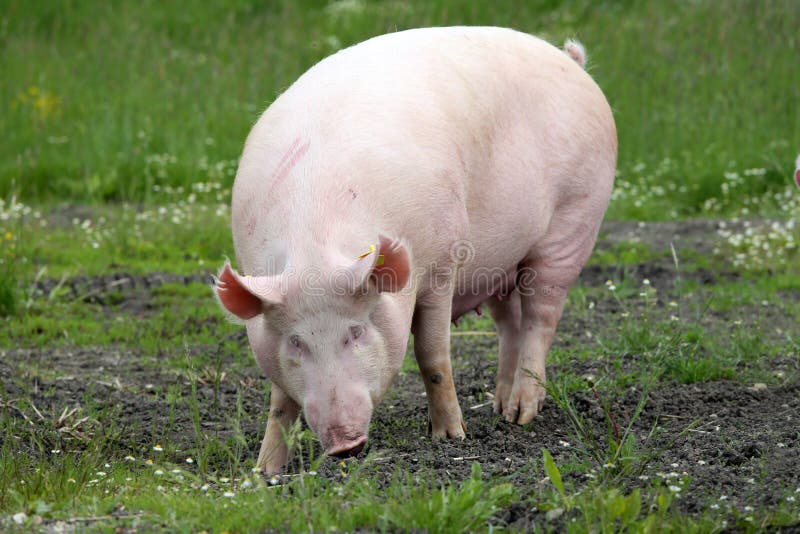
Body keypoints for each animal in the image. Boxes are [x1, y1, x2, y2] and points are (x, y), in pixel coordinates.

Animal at [214, 26, 617, 474]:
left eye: (357, 331)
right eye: (295, 342)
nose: (344, 444)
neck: (313, 235)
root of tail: (571, 62)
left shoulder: (441, 263)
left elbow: (431, 353)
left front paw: (451, 437)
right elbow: (280, 400)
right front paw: (265, 472)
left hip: (573, 222)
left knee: (540, 318)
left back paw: (520, 414)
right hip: (501, 262)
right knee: (510, 323)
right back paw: (499, 408)